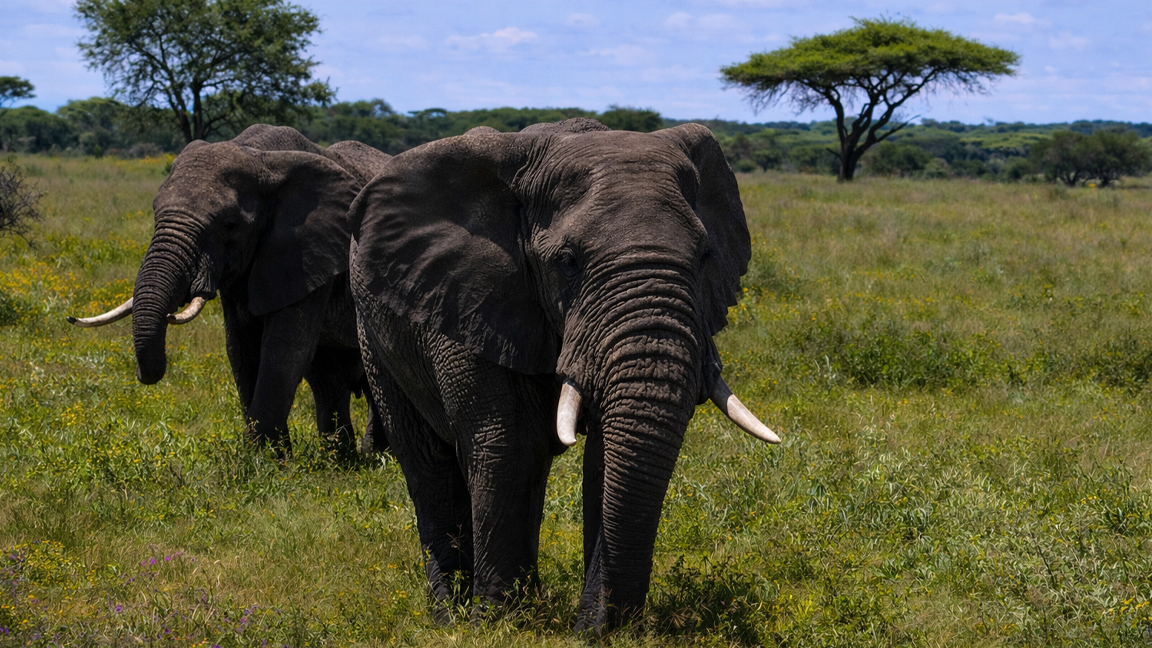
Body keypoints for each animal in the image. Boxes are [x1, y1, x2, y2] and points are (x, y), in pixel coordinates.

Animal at [69, 124, 390, 458]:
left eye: (230, 225)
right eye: (155, 212)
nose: (141, 374)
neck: (259, 156)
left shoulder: (308, 252)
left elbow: (284, 349)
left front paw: (269, 461)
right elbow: (240, 348)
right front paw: (266, 457)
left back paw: (376, 457)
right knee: (329, 376)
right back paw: (342, 460)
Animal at [347, 117, 779, 633]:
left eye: (704, 257)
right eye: (567, 261)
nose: (607, 630)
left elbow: (604, 458)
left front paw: (595, 629)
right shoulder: (470, 300)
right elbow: (506, 444)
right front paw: (497, 626)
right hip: (373, 330)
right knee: (428, 461)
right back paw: (450, 616)